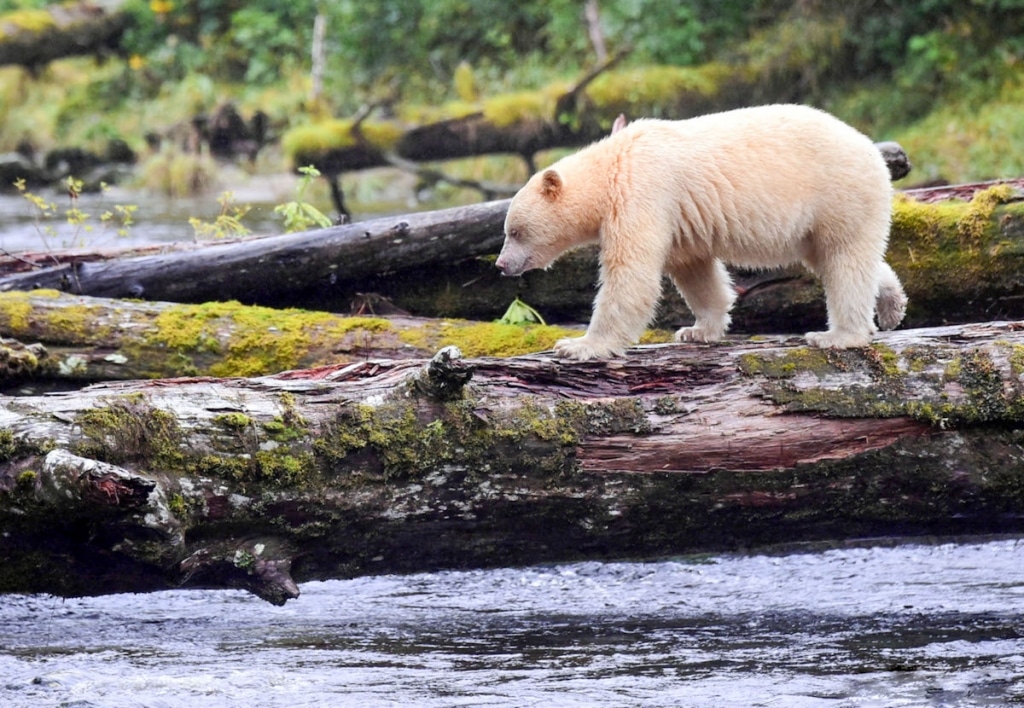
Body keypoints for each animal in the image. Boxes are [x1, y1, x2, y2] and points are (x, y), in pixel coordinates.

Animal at [494, 104, 908, 361]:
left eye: (515, 231)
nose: (500, 265)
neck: (613, 163)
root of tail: (872, 149)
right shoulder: (677, 217)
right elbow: (694, 269)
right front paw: (698, 330)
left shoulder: (641, 195)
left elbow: (631, 276)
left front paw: (578, 345)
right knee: (838, 258)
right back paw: (891, 305)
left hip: (838, 194)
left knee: (844, 260)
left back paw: (838, 336)